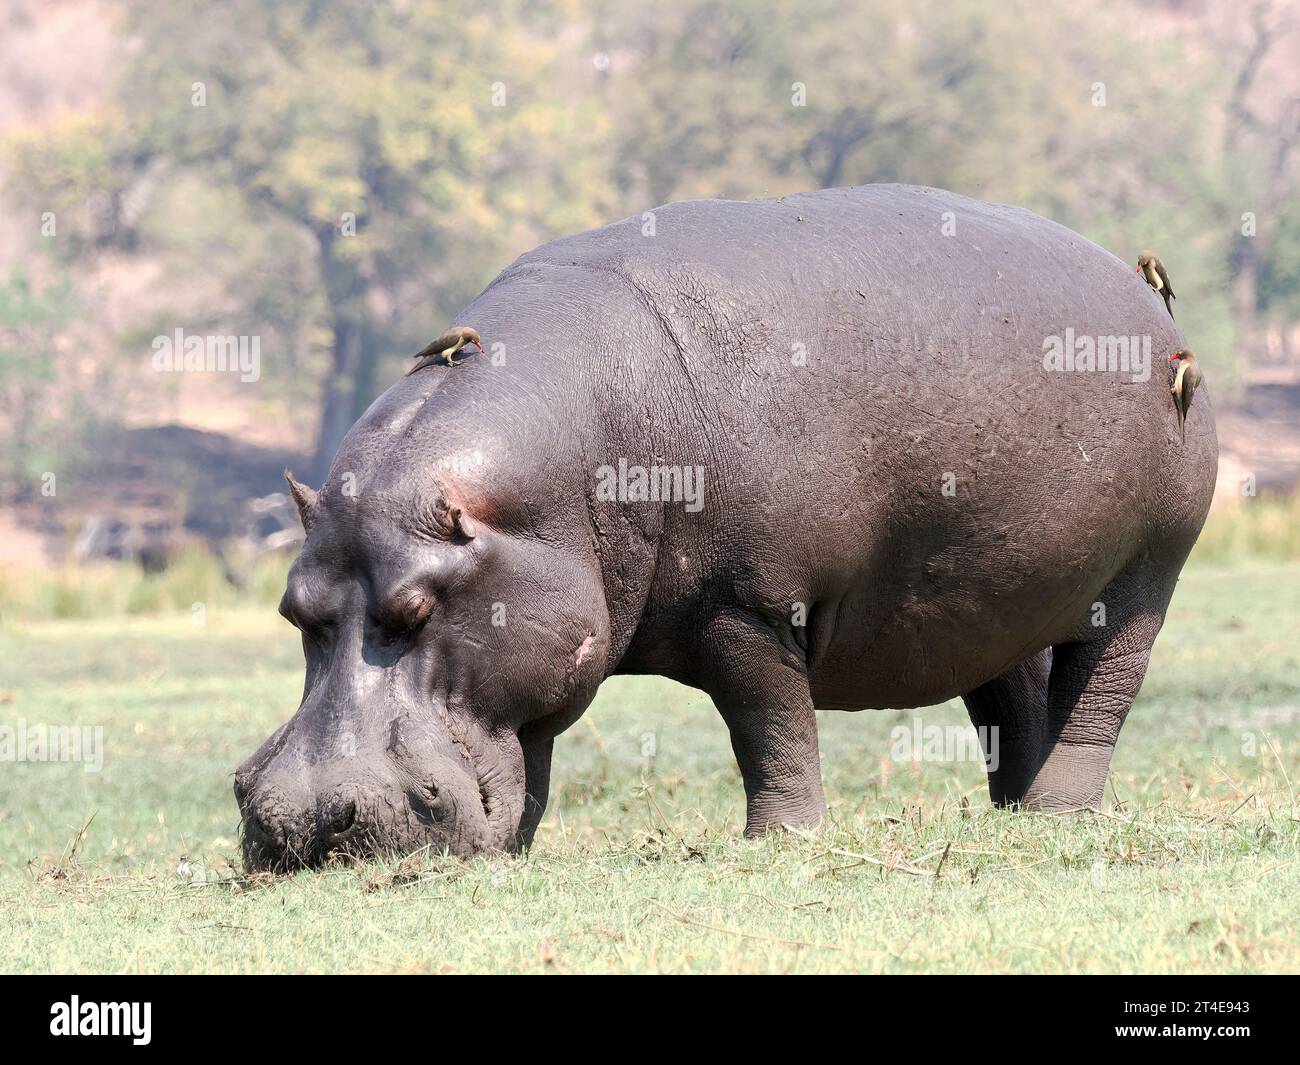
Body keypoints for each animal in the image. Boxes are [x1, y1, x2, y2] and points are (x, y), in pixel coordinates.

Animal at [235, 183, 1217, 870]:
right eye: (292, 611)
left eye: (417, 610)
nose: (304, 823)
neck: (587, 449)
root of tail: (1149, 301)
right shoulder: (544, 620)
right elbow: (532, 752)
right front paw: (516, 850)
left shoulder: (750, 606)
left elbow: (768, 725)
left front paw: (780, 841)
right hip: (993, 596)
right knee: (1013, 693)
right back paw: (1011, 813)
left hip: (1147, 578)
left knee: (1101, 688)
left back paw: (1061, 810)